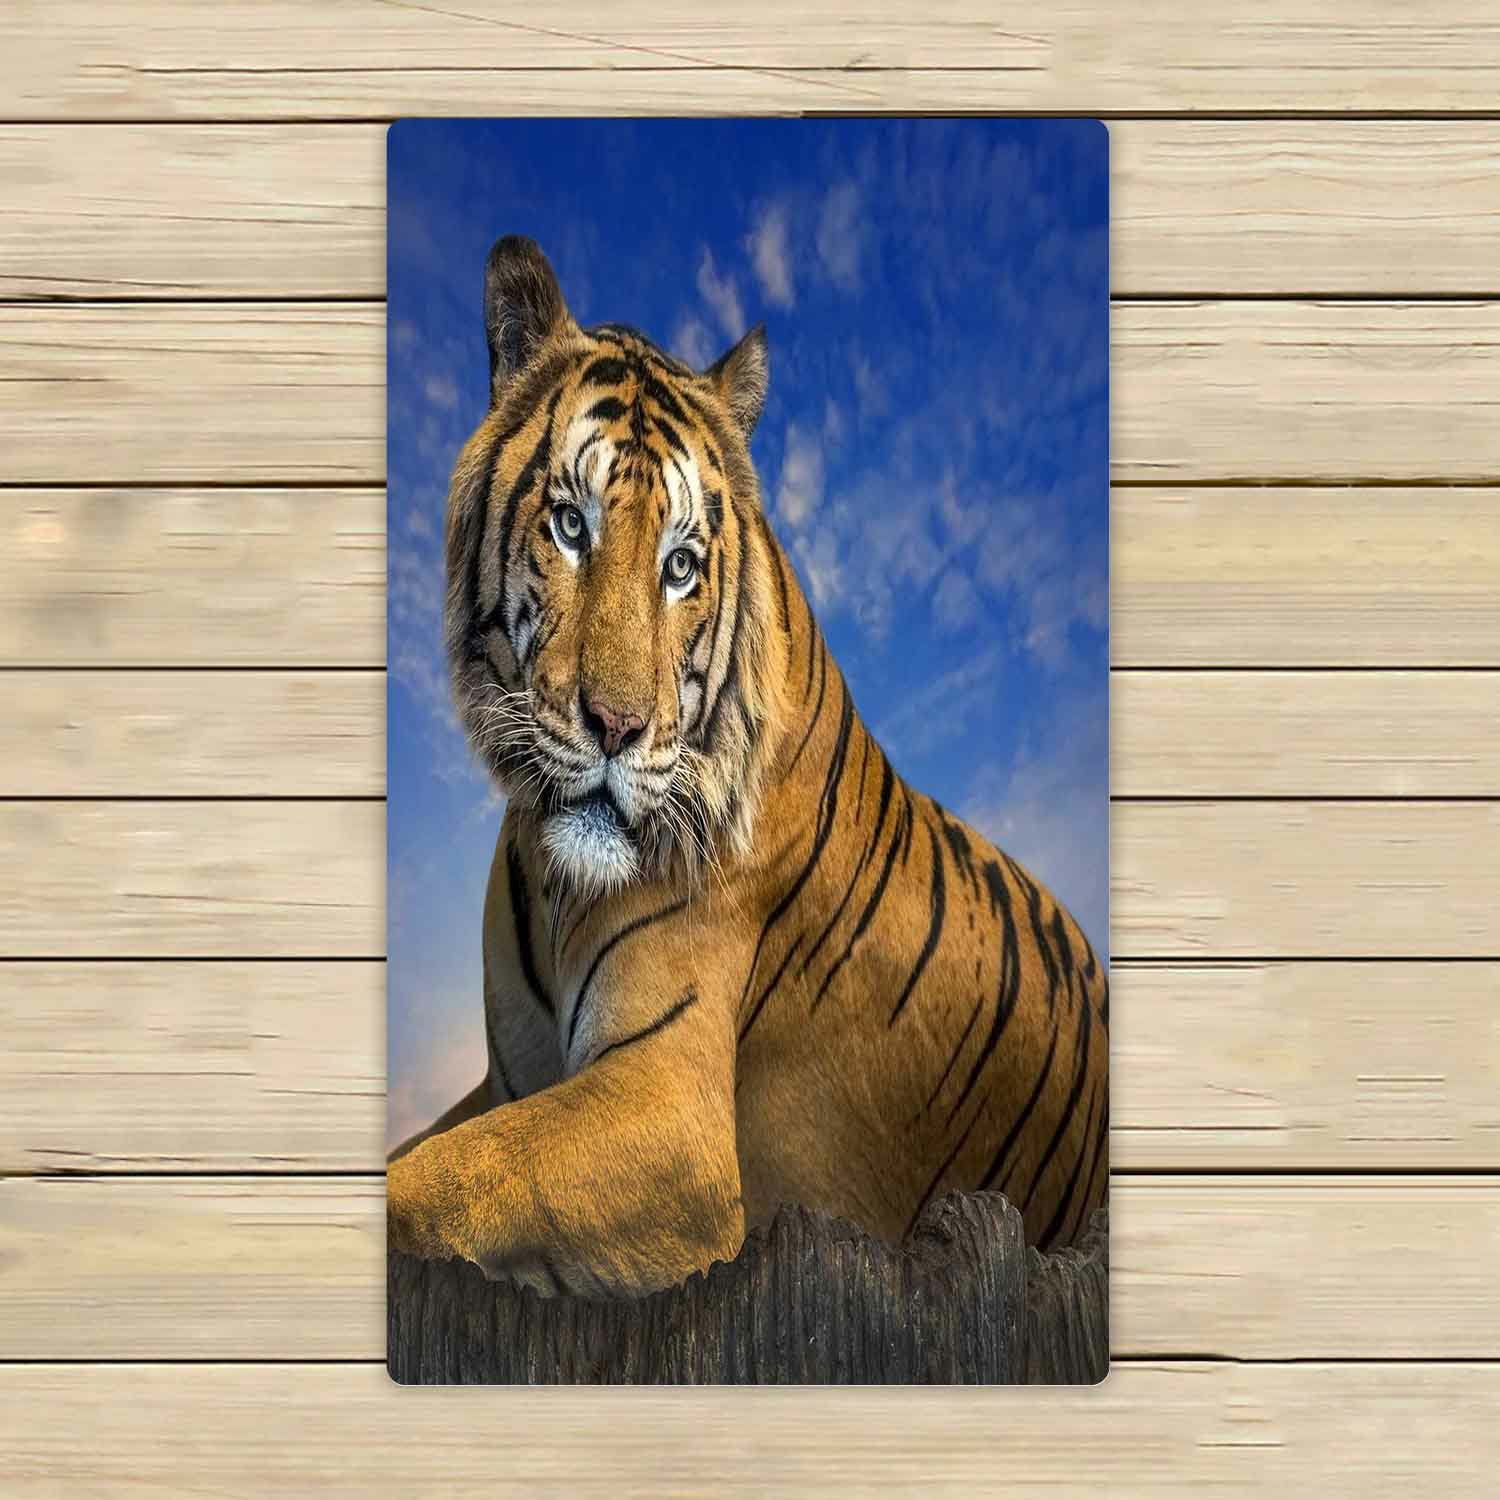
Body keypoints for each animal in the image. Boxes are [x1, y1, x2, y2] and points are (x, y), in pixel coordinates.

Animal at [387, 235, 1109, 1298]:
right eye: (570, 526)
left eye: (682, 566)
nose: (617, 727)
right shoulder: (504, 1083)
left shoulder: (669, 1115)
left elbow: (435, 1183)